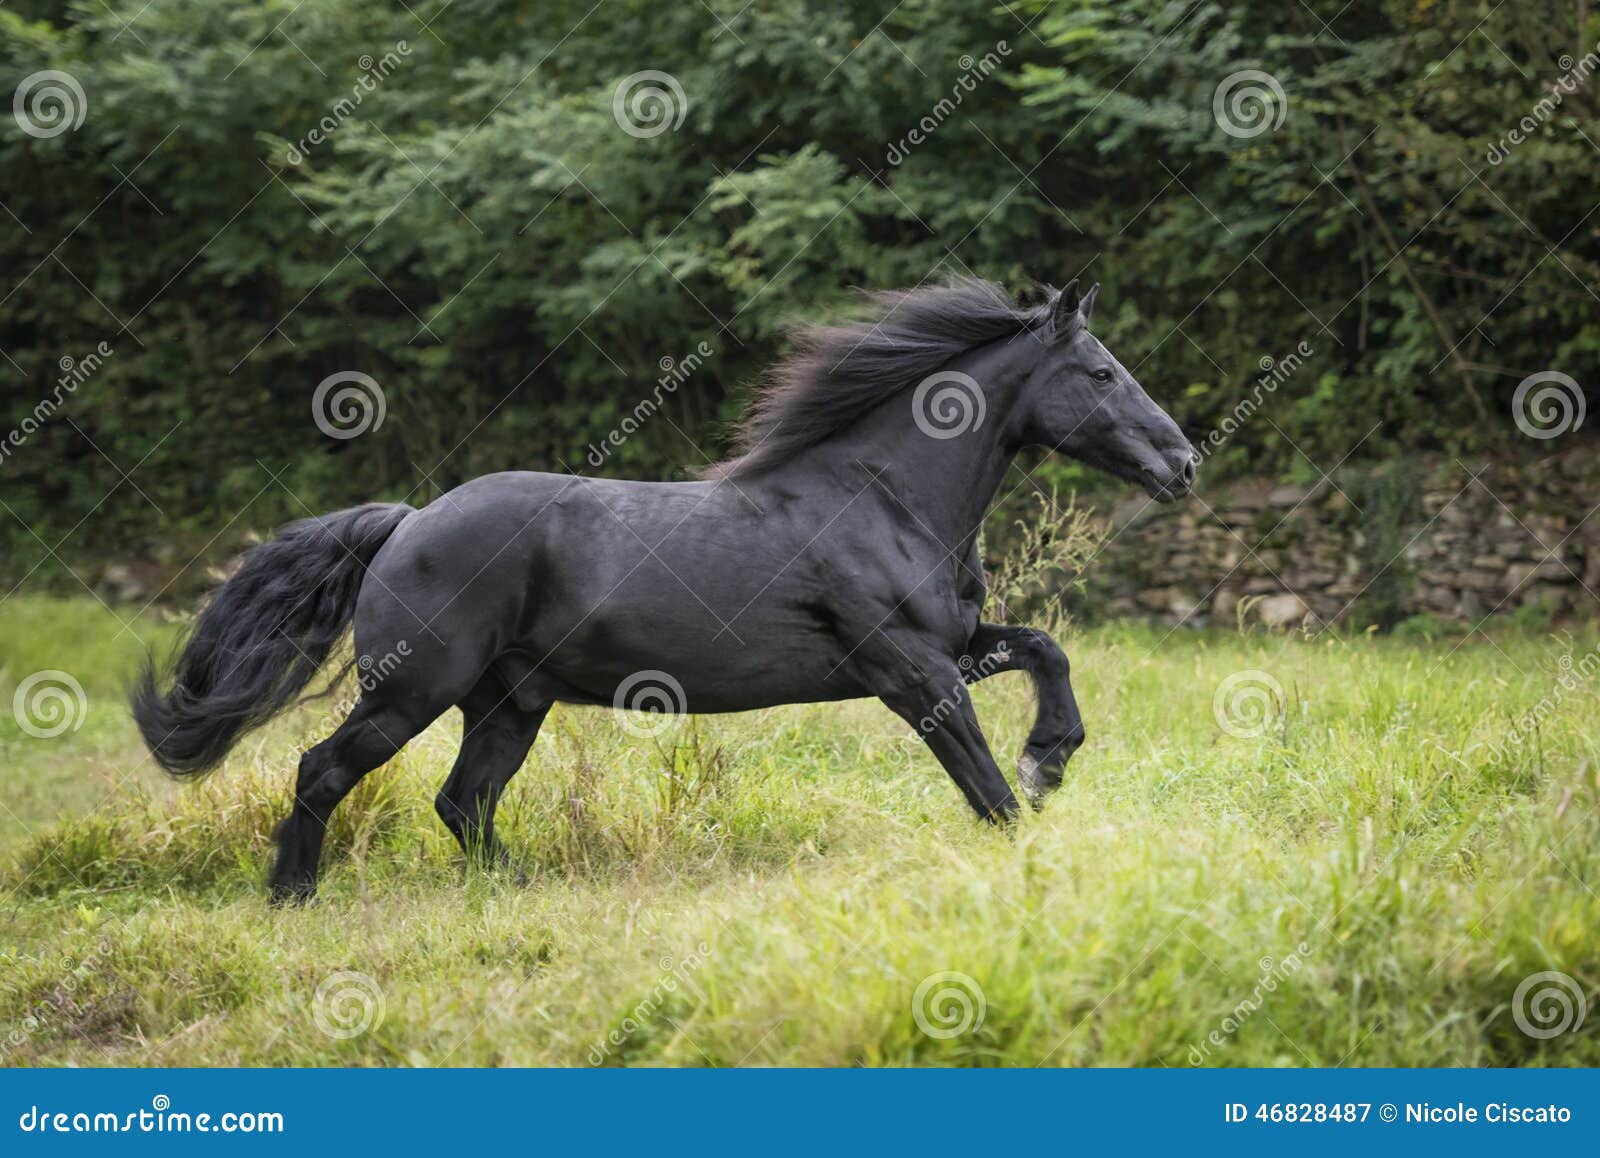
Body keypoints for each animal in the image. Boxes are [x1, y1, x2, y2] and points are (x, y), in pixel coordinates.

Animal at [132, 276, 1196, 902]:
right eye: (1101, 371)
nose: (1183, 463)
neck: (884, 500)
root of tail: (406, 522)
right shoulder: (910, 671)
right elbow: (980, 778)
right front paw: (1030, 827)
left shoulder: (956, 647)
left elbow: (1044, 651)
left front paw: (1051, 755)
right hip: (411, 691)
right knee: (323, 771)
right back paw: (293, 897)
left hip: (509, 703)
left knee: (462, 803)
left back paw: (517, 893)